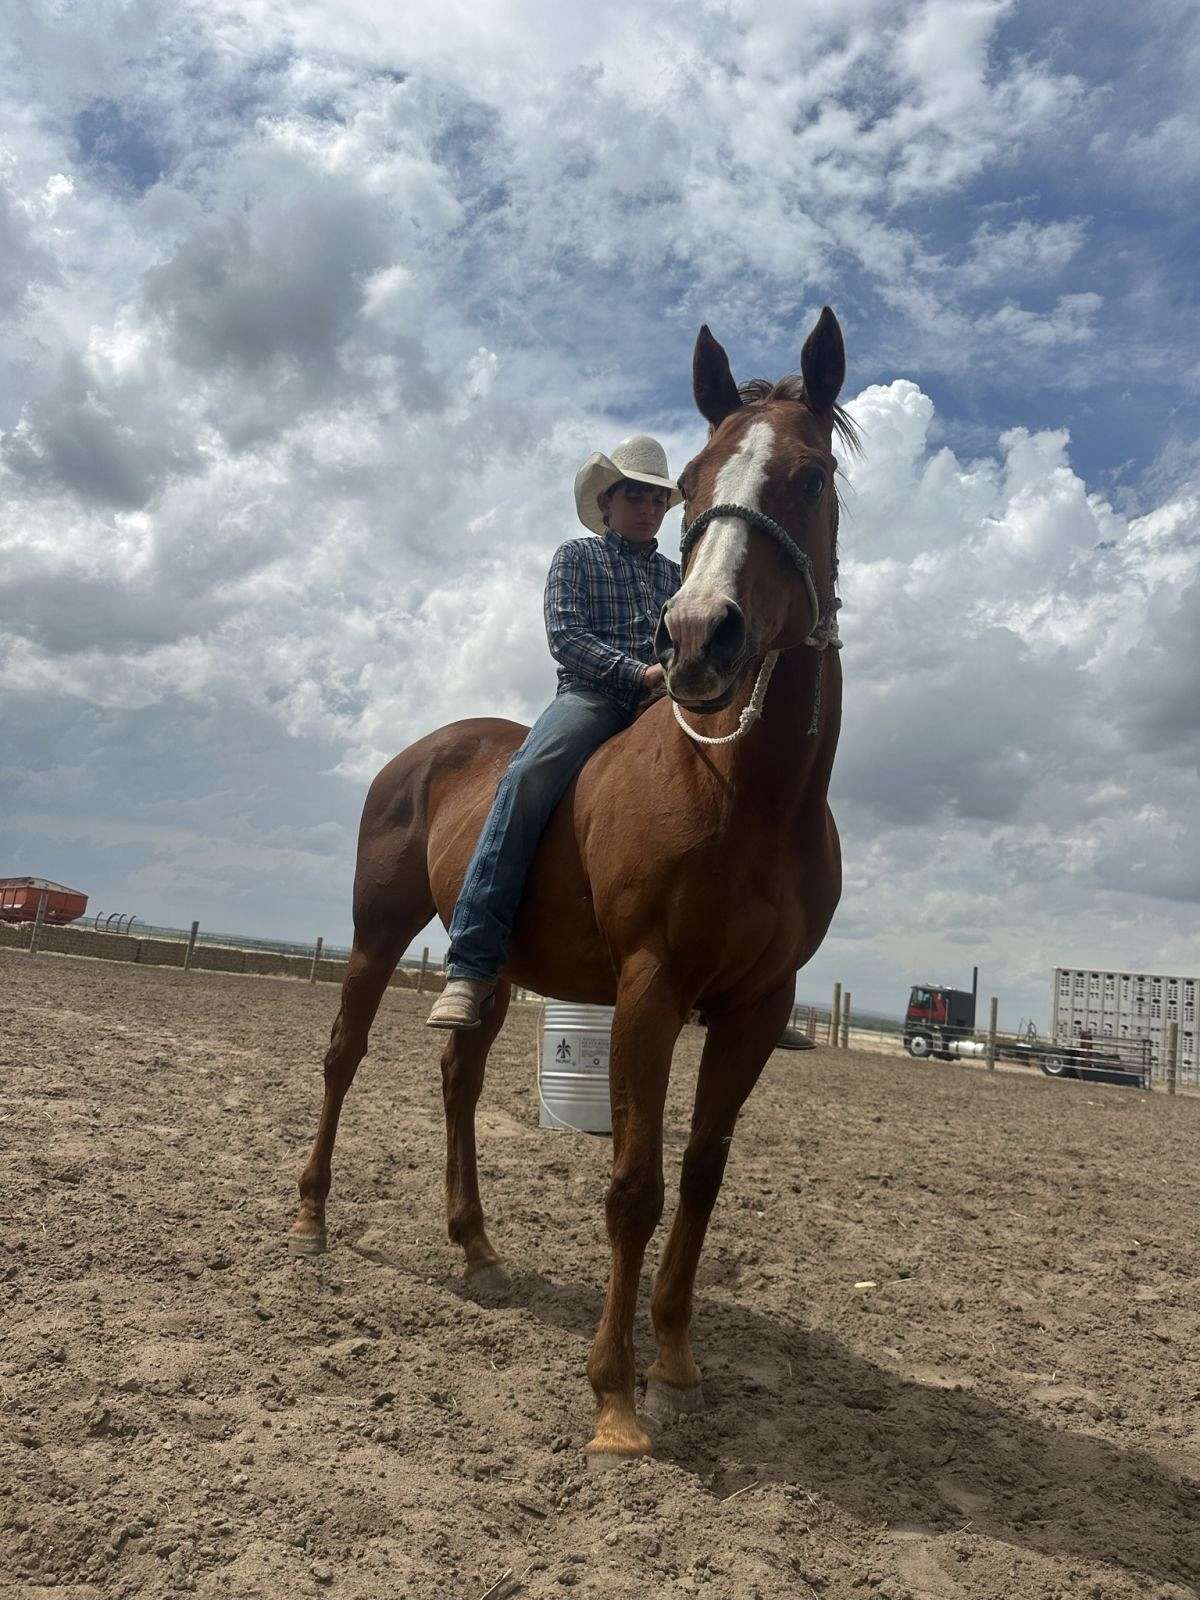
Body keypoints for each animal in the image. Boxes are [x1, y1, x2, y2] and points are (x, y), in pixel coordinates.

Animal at [288, 306, 857, 1468]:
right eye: (691, 481)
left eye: (811, 475)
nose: (698, 638)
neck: (742, 793)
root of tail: (420, 751)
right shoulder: (648, 991)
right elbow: (633, 1186)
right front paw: (615, 1400)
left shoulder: (755, 1006)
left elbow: (702, 1174)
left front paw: (676, 1360)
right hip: (376, 935)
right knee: (343, 1056)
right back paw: (314, 1216)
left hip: (496, 964)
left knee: (458, 1077)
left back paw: (476, 1248)